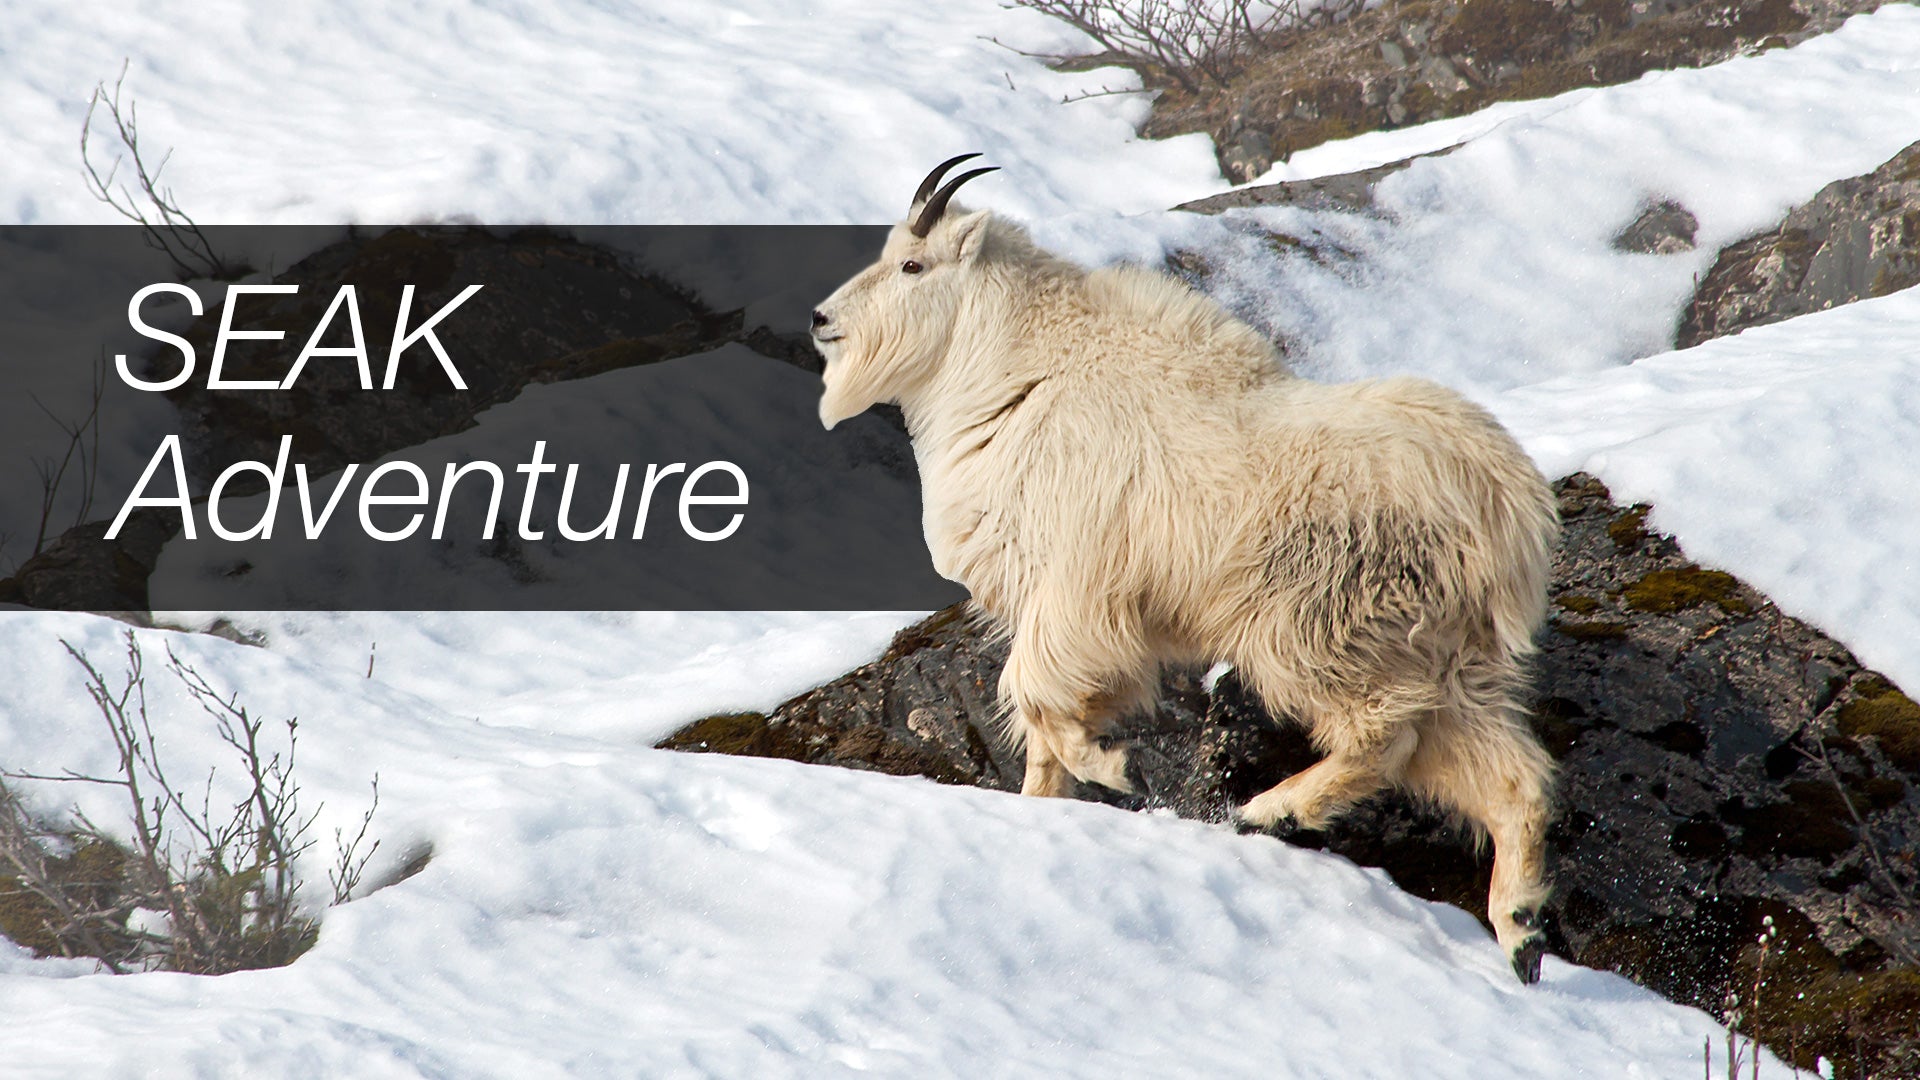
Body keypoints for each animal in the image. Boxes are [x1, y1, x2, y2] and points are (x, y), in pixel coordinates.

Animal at [811, 155, 1561, 983]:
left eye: (912, 264)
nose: (821, 320)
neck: (1013, 370)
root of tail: (1505, 507)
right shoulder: (1055, 603)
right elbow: (1041, 725)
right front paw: (1043, 808)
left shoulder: (1074, 597)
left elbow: (1037, 698)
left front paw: (1118, 770)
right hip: (1450, 656)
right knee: (1509, 778)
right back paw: (1520, 929)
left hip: (1326, 627)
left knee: (1385, 735)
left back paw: (1270, 811)